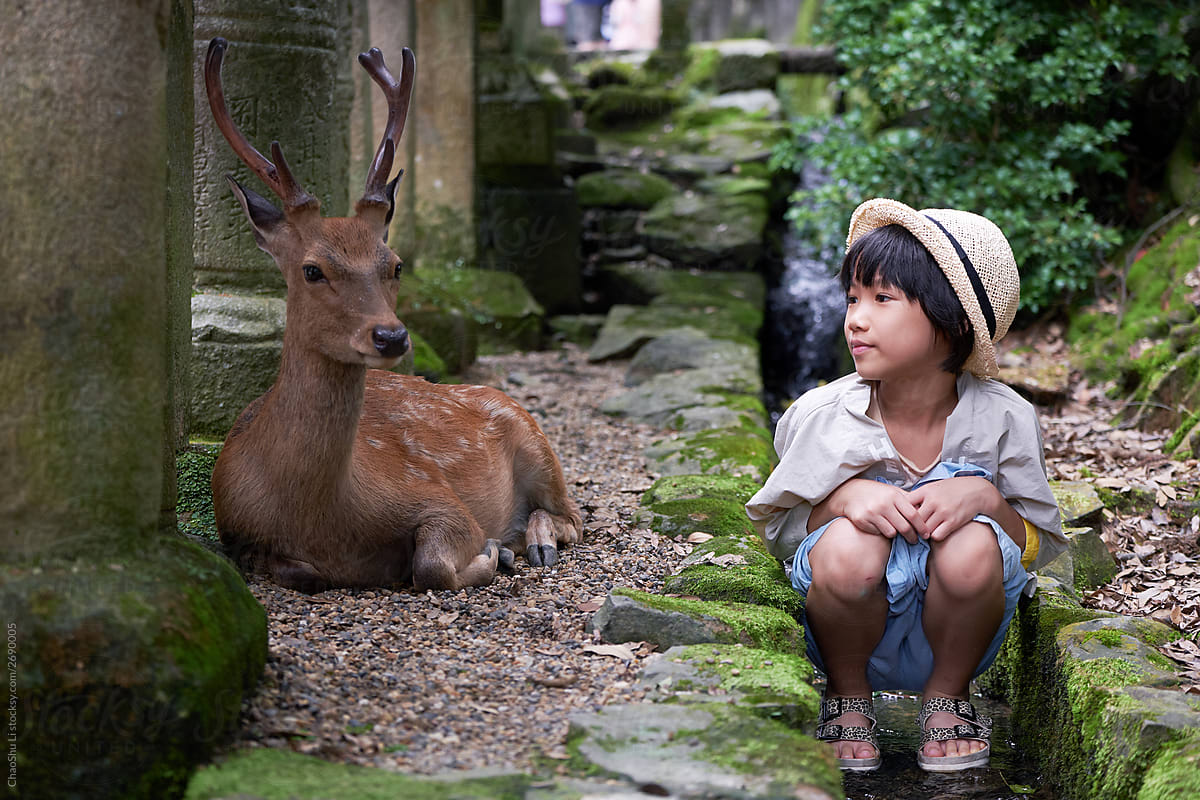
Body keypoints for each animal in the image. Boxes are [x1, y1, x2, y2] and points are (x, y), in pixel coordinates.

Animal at [203, 38, 582, 593]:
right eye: (312, 269)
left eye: (395, 263)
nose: (391, 337)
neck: (323, 518)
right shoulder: (236, 530)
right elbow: (299, 573)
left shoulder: (435, 494)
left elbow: (432, 563)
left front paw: (494, 553)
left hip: (534, 437)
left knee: (572, 514)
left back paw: (534, 543)